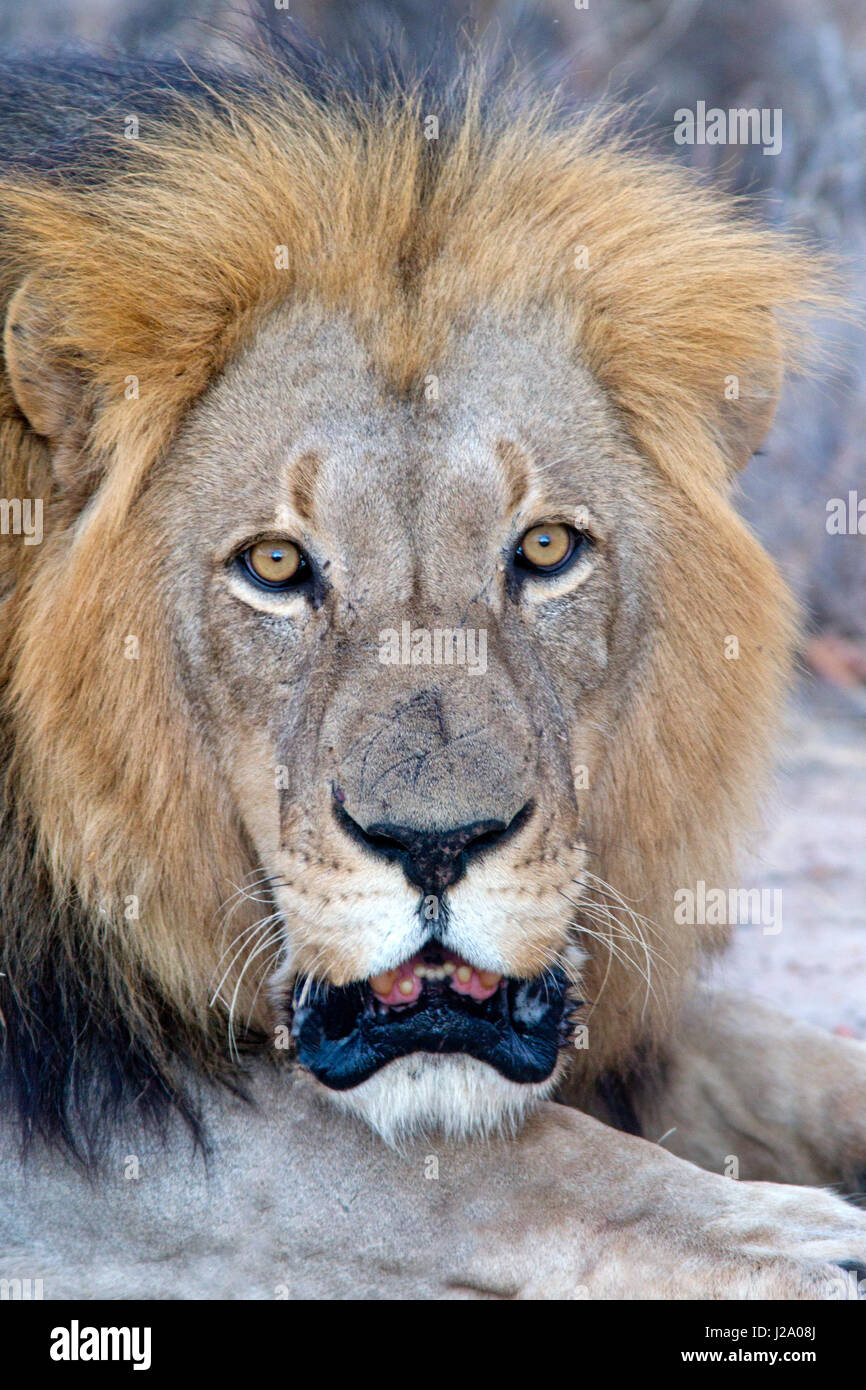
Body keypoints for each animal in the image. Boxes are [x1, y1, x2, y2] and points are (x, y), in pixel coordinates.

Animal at [1, 42, 866, 1301]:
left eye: (544, 549)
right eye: (275, 564)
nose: (436, 846)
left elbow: (769, 1052)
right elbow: (468, 1164)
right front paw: (788, 1242)